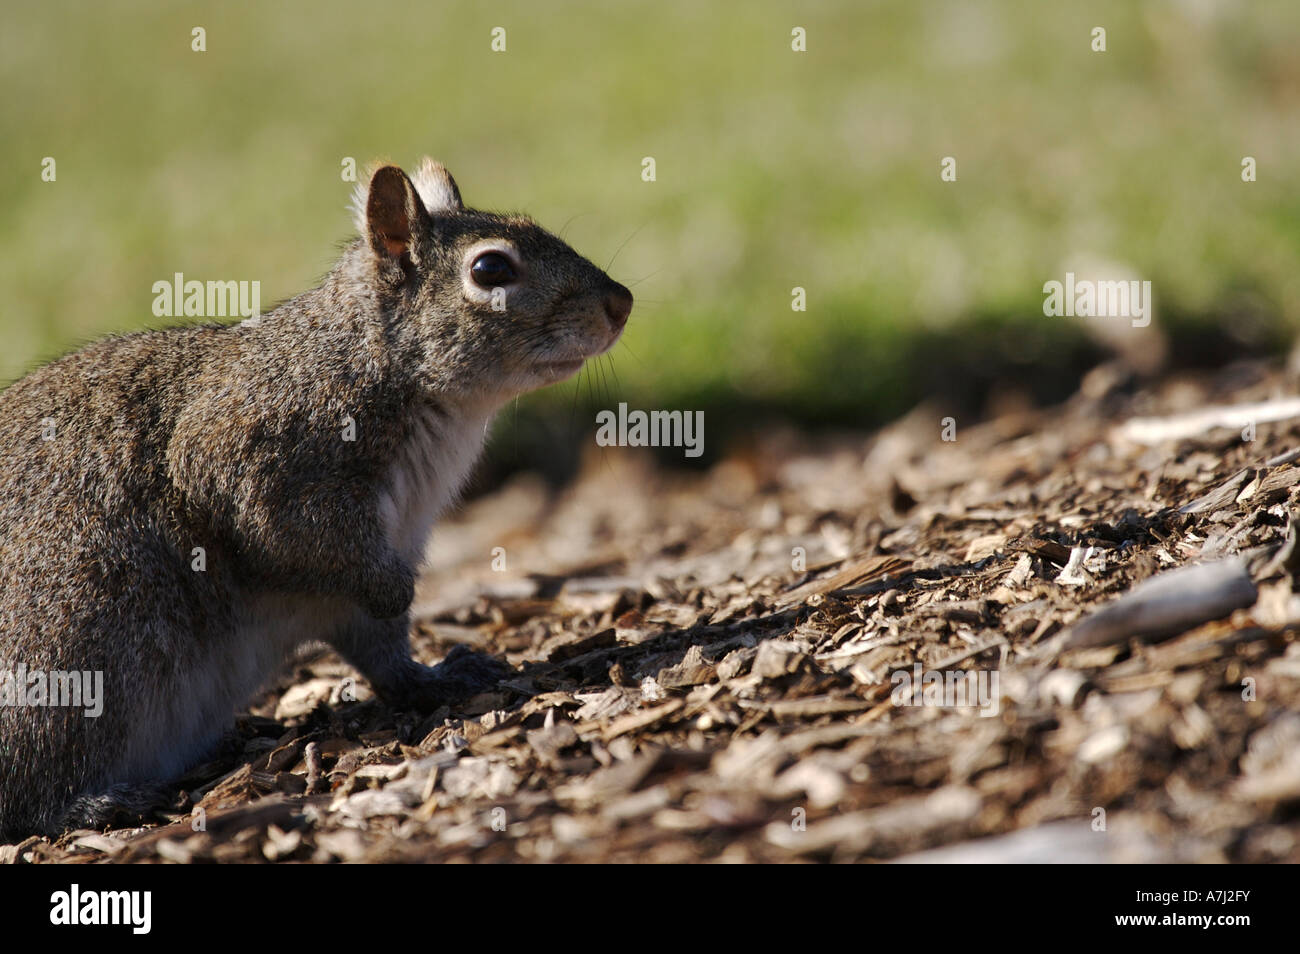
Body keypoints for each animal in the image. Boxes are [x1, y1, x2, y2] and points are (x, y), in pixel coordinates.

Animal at [0, 157, 632, 840]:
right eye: (491, 269)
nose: (621, 302)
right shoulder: (251, 453)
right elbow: (281, 533)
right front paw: (398, 595)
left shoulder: (388, 545)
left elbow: (383, 650)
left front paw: (437, 676)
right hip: (71, 641)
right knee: (30, 787)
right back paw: (96, 804)